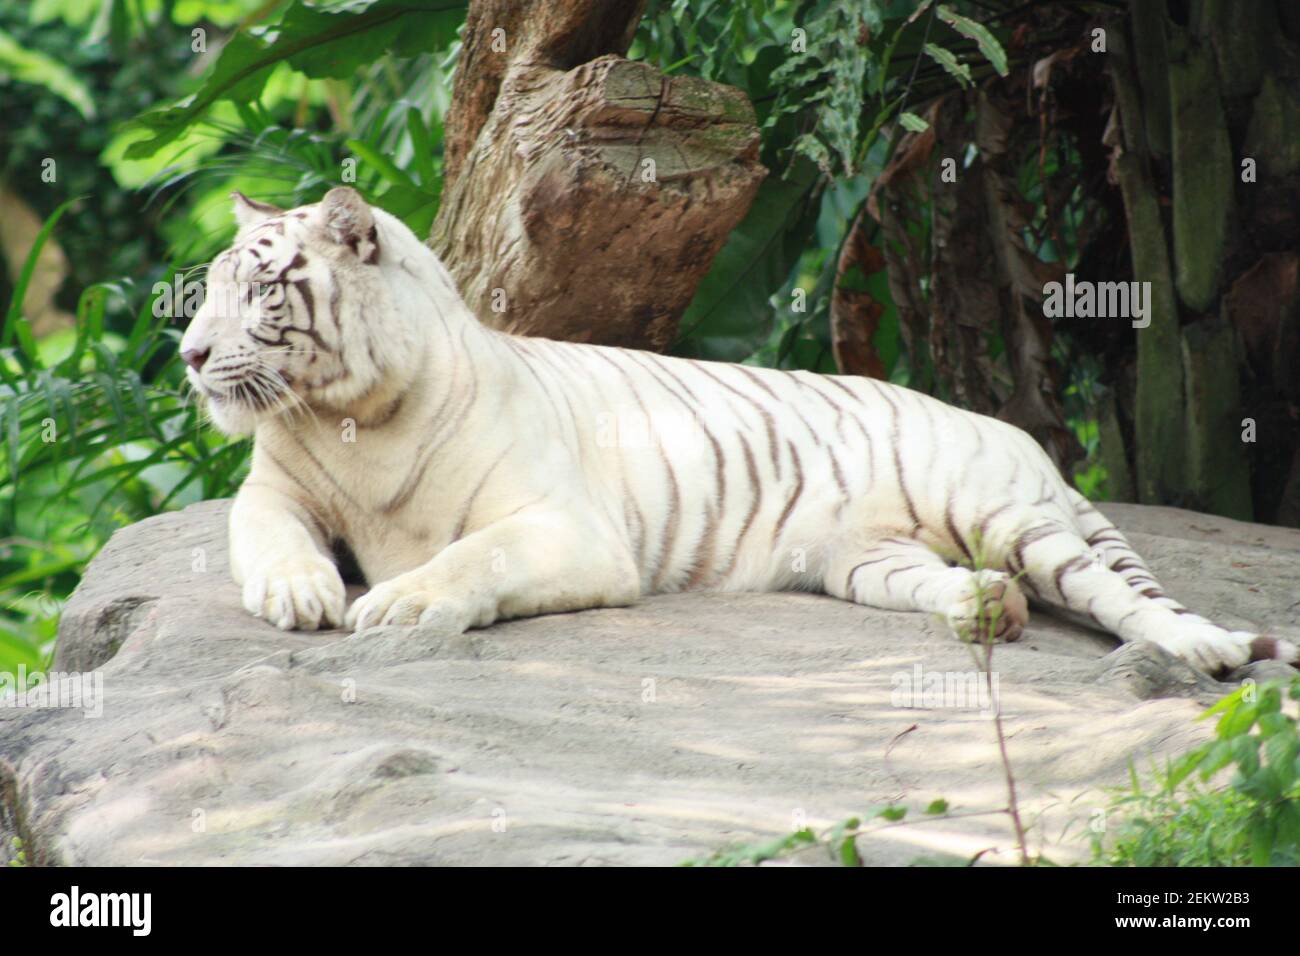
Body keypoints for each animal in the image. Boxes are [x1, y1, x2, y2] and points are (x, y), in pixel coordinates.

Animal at [178, 186, 1297, 676]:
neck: (352, 417)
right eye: (208, 290)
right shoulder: (274, 486)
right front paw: (302, 591)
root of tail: (1022, 441)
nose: (189, 355)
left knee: (1118, 594)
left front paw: (397, 604)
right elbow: (262, 532)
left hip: (1004, 513)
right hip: (867, 560)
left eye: (262, 289)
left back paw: (1203, 650)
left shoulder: (565, 527)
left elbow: (468, 556)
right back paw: (989, 611)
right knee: (976, 585)